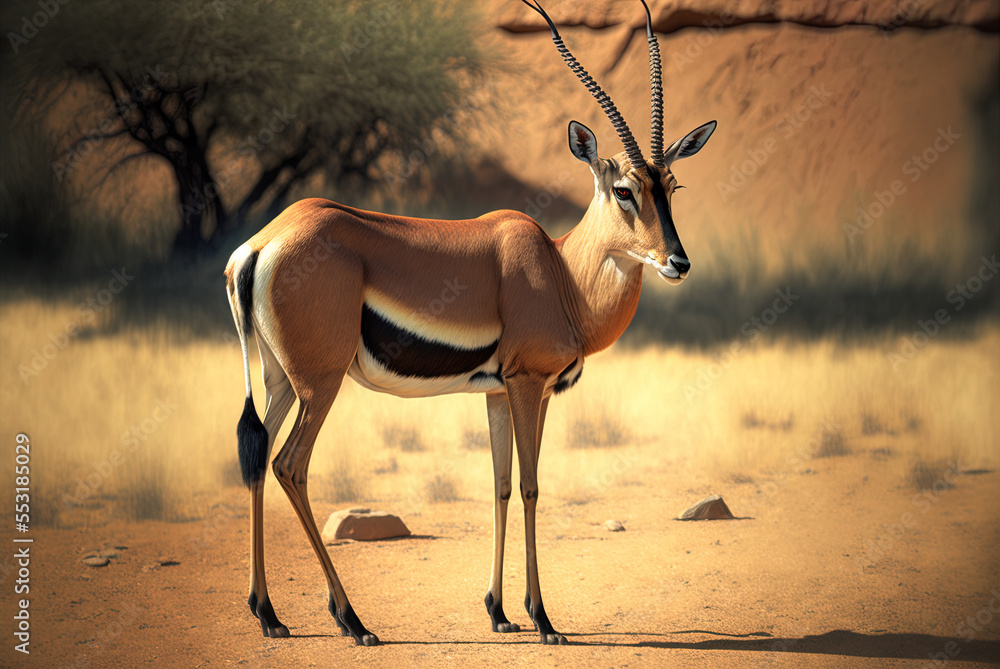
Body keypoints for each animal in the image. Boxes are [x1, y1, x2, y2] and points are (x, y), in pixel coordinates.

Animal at [225, 0, 715, 646]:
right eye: (624, 190)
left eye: (672, 185)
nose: (677, 262)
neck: (559, 270)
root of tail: (261, 244)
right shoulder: (531, 386)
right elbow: (531, 486)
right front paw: (543, 620)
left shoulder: (497, 393)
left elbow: (500, 484)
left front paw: (499, 612)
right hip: (320, 385)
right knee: (290, 465)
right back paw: (353, 621)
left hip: (281, 381)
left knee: (257, 455)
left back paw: (269, 615)